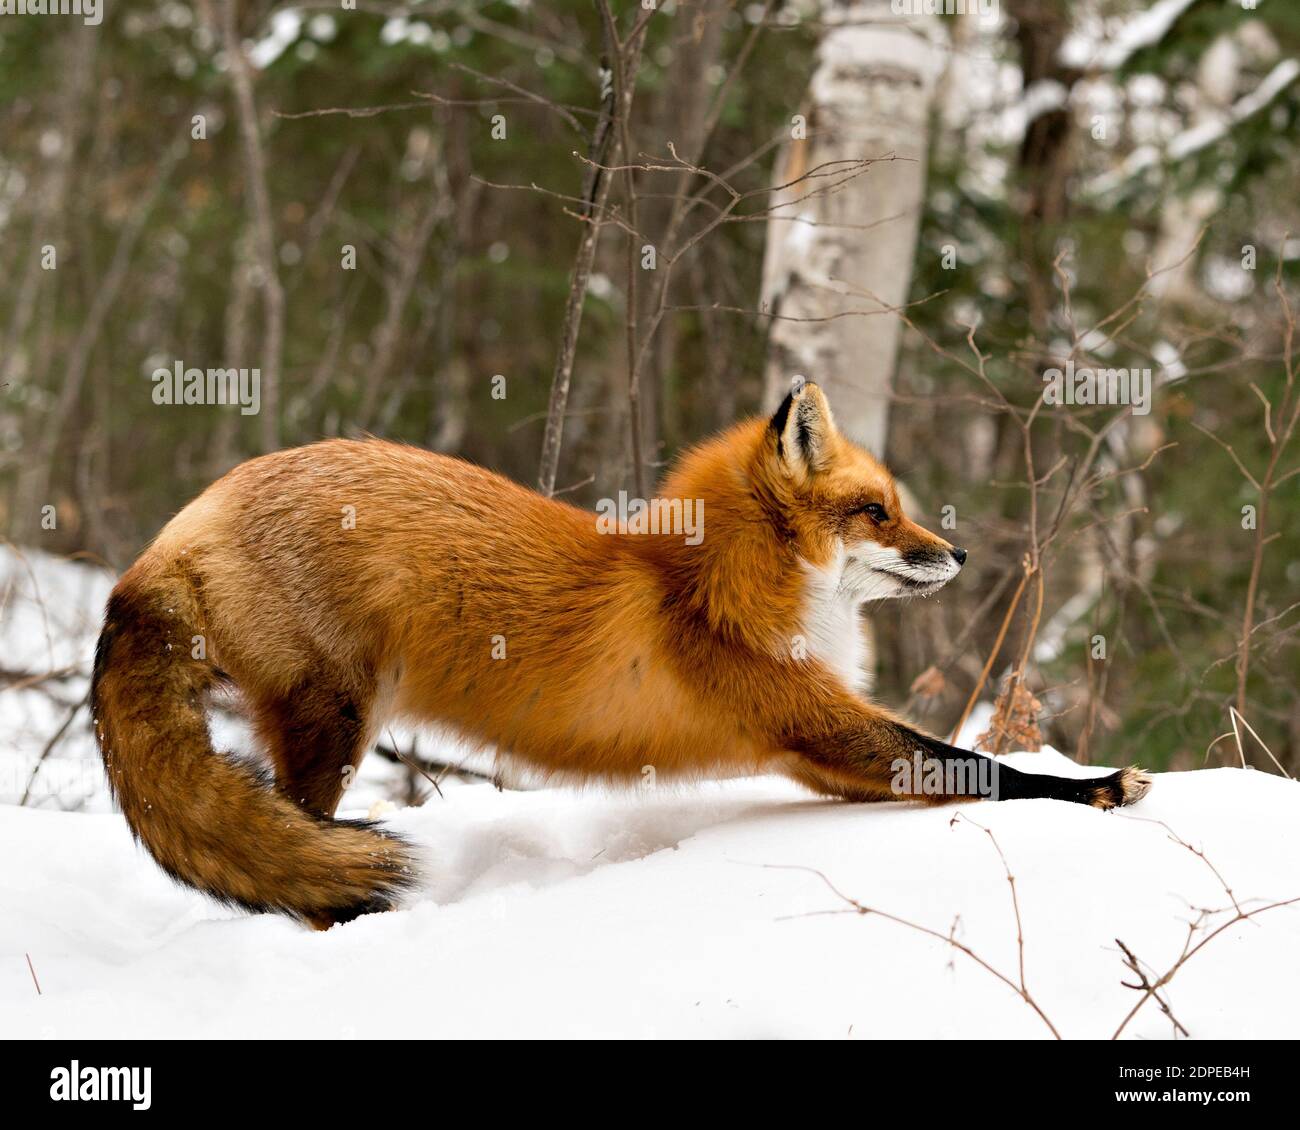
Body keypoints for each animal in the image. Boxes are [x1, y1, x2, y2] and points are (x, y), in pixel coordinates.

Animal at [91, 381, 1150, 928]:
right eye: (876, 512)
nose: (960, 554)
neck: (712, 583)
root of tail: (178, 526)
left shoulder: (814, 753)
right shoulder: (813, 718)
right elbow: (981, 764)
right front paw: (1097, 789)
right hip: (335, 722)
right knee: (307, 853)